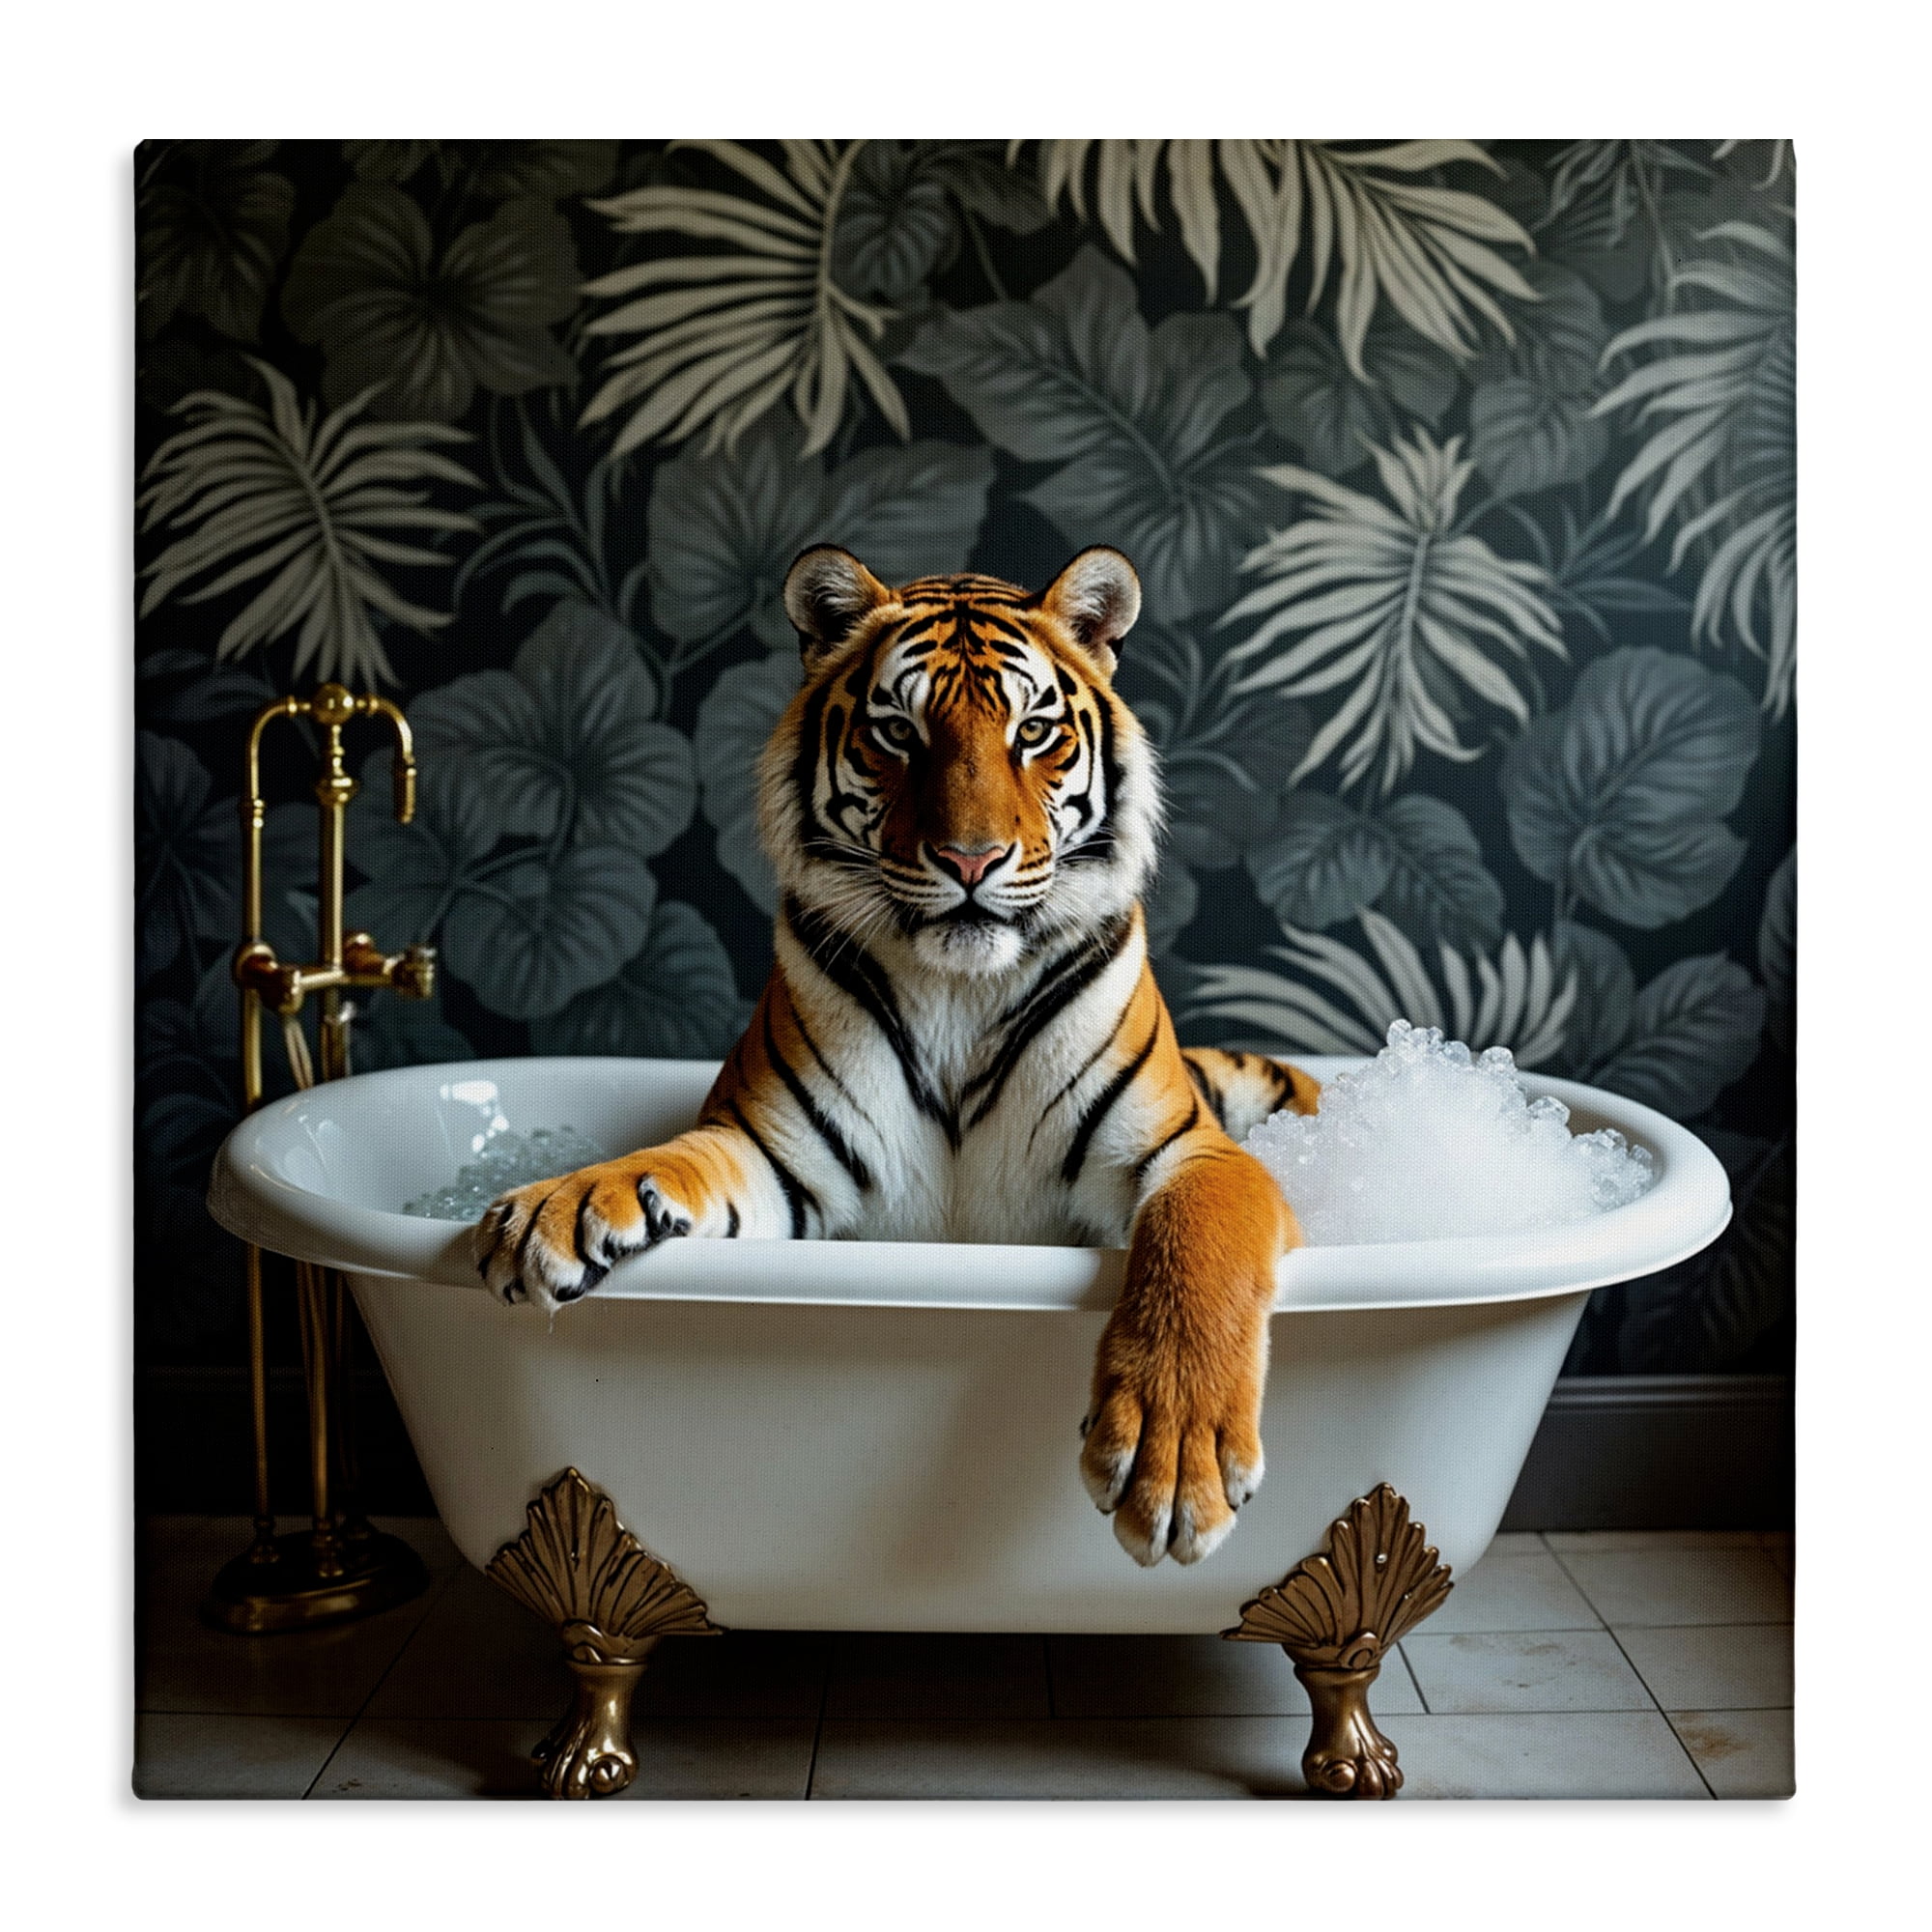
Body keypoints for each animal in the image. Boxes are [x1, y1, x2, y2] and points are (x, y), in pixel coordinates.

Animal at [474, 544, 1320, 1568]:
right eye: (898, 733)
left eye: (1034, 732)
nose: (971, 860)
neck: (960, 989)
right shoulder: (774, 1153)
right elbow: (668, 1160)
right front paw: (556, 1207)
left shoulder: (1190, 1152)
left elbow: (1196, 1250)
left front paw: (1174, 1457)